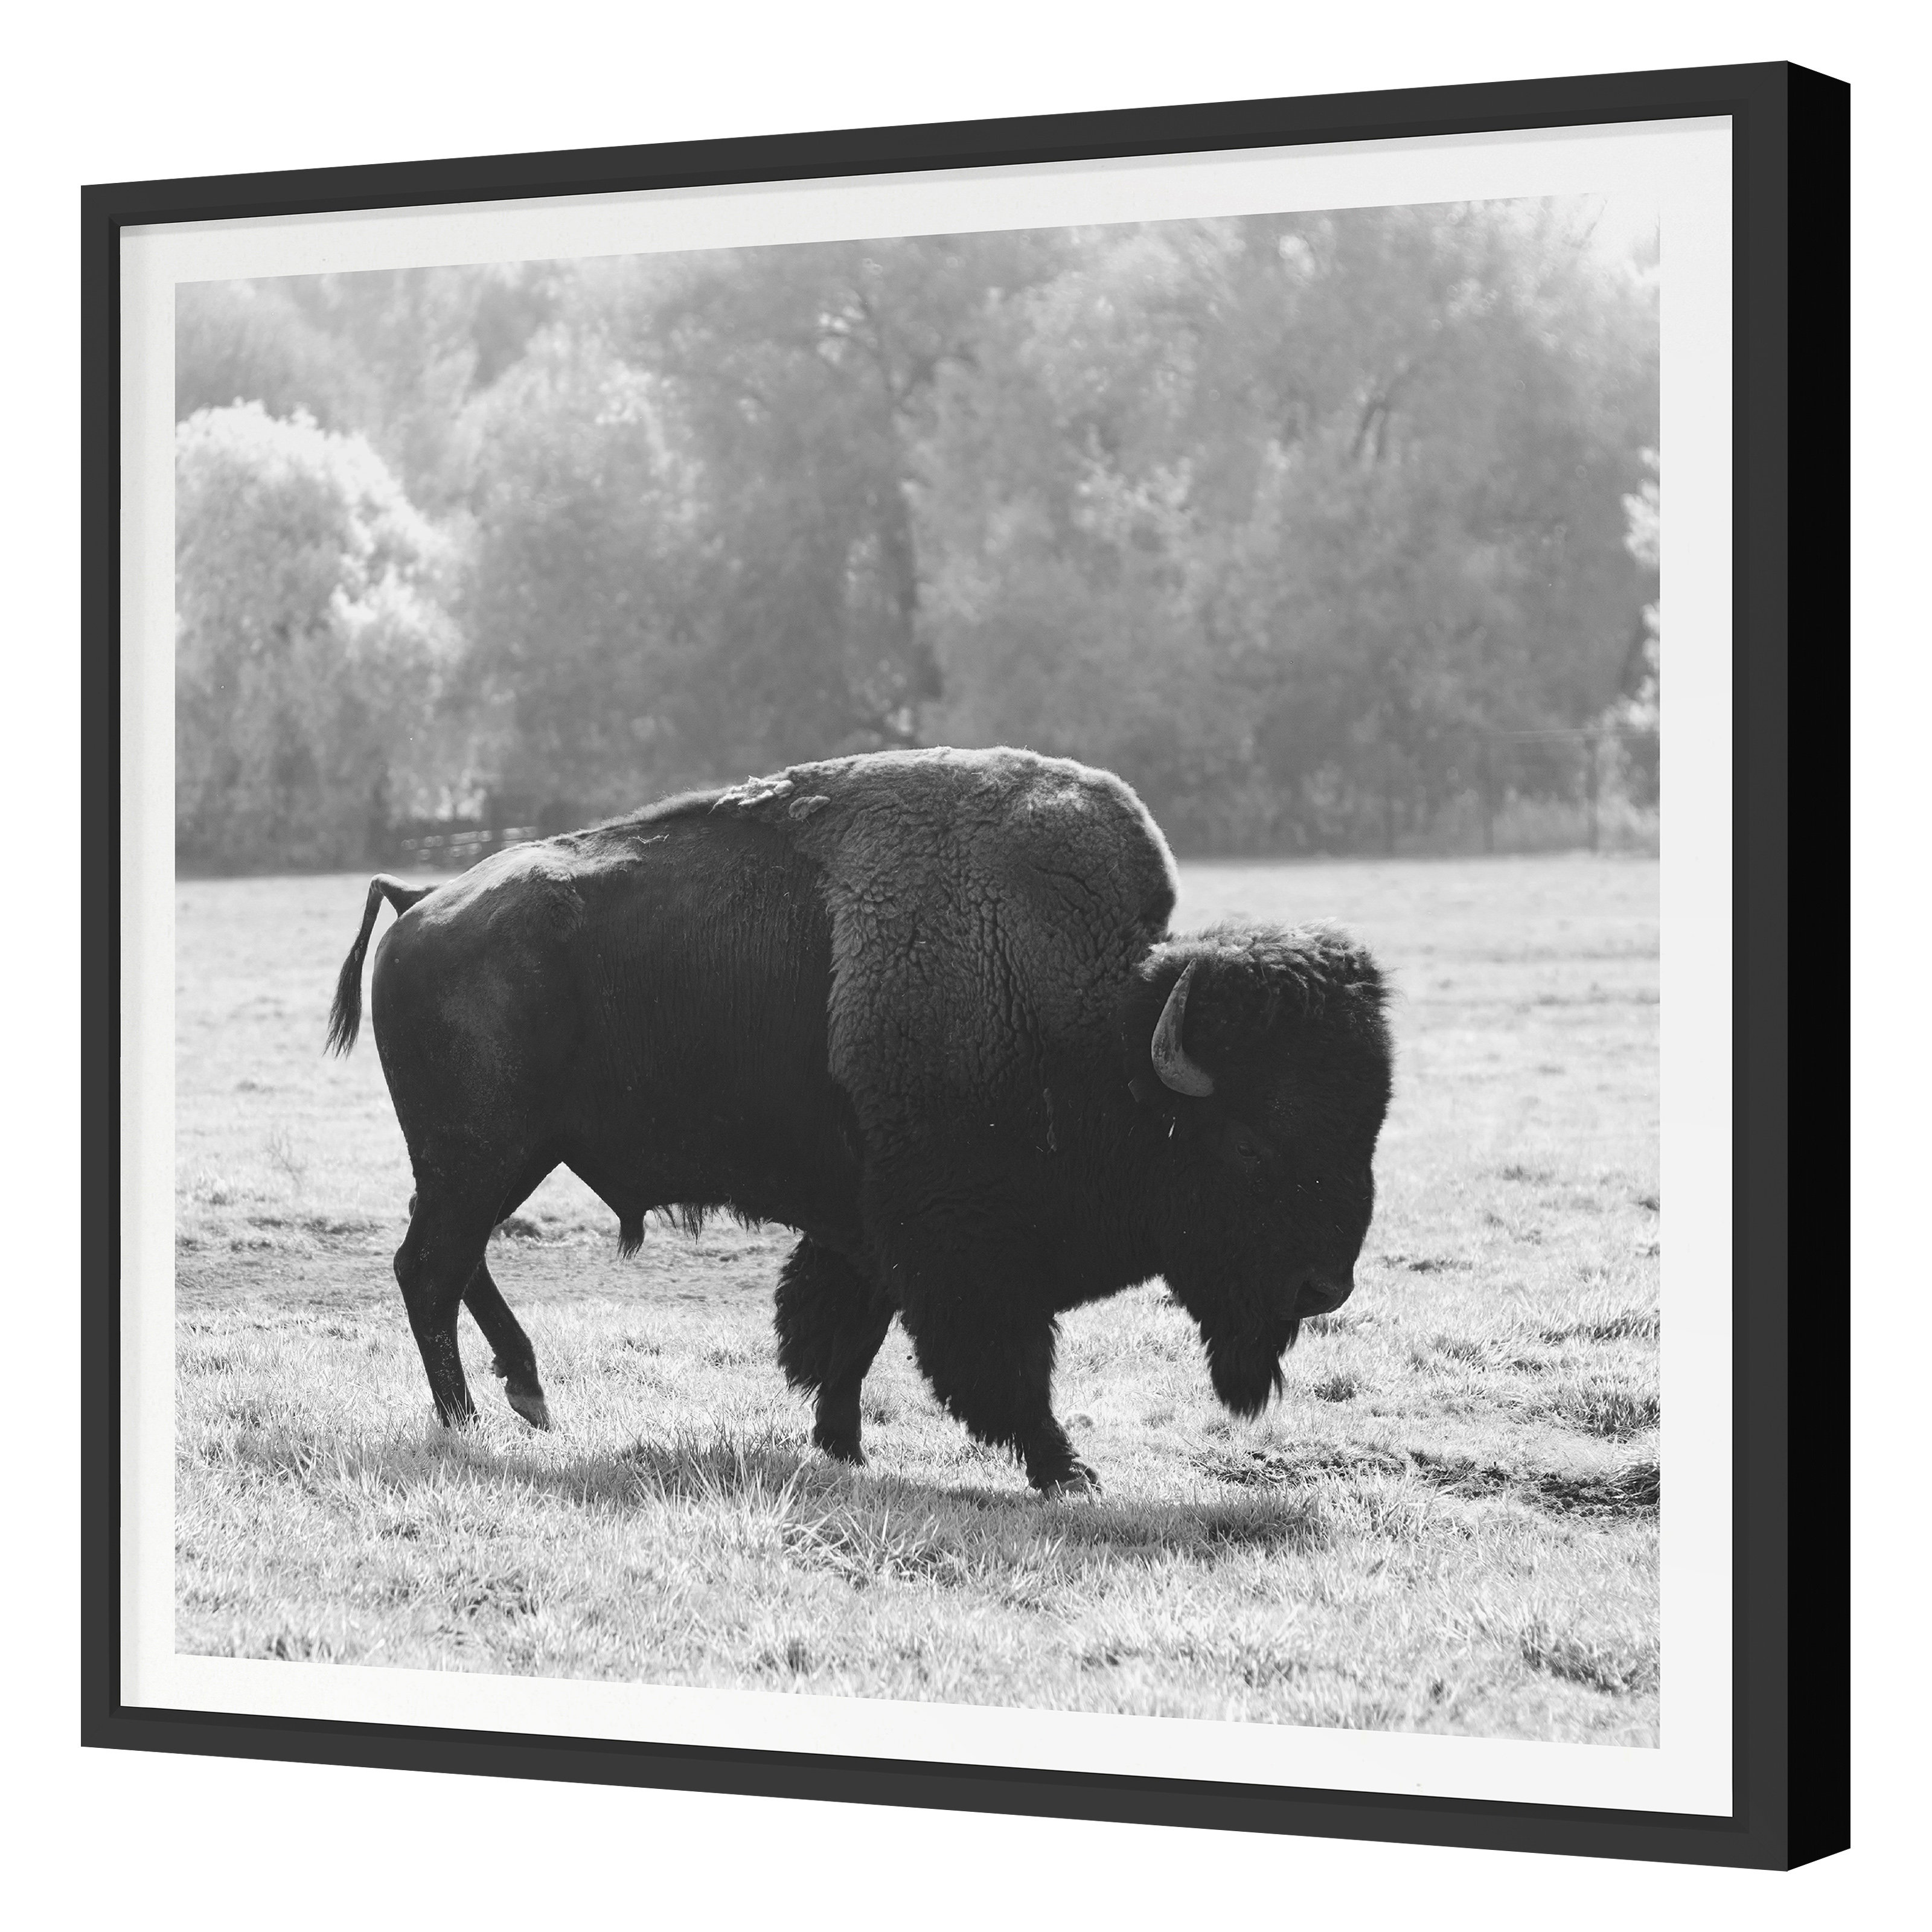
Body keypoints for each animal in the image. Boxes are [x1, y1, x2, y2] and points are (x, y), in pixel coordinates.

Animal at [328, 746, 1392, 1494]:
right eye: (1252, 1141)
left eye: (1368, 1124)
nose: (1326, 1285)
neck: (1103, 1031)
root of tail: (426, 902)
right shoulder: (960, 1250)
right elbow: (998, 1365)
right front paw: (1067, 1469)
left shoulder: (874, 1223)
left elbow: (854, 1332)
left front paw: (840, 1443)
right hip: (484, 1159)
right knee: (430, 1268)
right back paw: (471, 1420)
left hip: (491, 1162)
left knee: (453, 1263)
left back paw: (525, 1394)